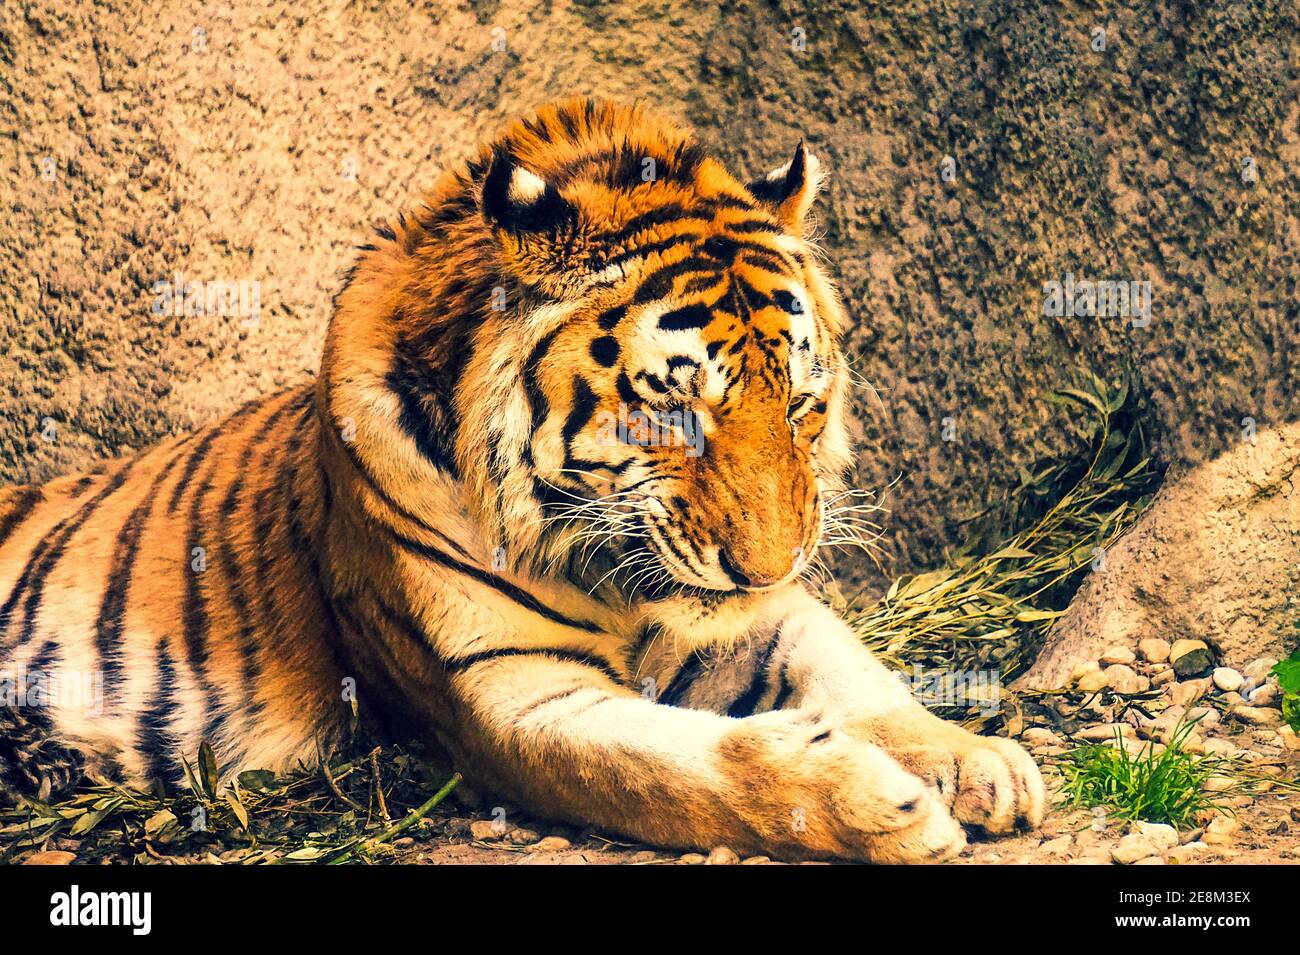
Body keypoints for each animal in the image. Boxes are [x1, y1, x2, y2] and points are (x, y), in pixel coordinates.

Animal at [0, 98, 1043, 863]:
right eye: (675, 411)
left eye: (799, 404)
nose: (767, 565)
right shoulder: (510, 701)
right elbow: (691, 770)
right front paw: (880, 804)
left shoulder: (762, 618)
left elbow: (857, 673)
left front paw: (980, 761)